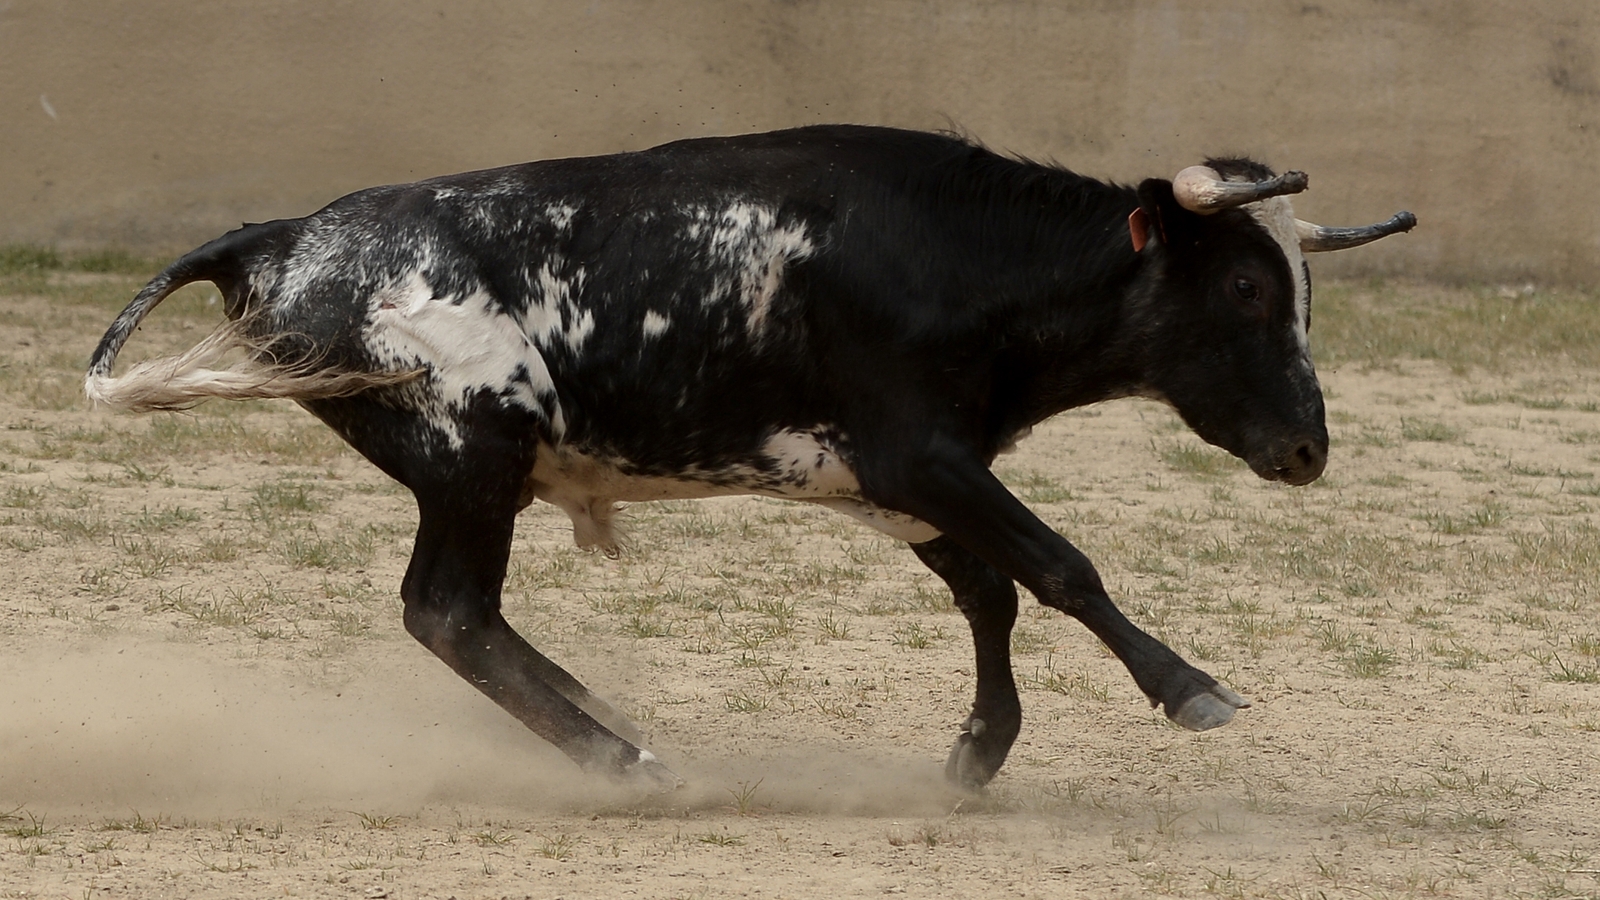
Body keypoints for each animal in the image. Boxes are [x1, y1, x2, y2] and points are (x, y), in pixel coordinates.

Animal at [86, 125, 1415, 791]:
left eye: (1295, 287)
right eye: (1244, 287)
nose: (1306, 448)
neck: (956, 254)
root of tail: (289, 236)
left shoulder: (896, 480)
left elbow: (989, 590)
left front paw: (976, 753)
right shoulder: (922, 457)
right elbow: (1058, 568)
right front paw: (1189, 689)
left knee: (463, 619)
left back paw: (608, 727)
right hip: (475, 459)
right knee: (448, 612)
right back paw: (630, 760)